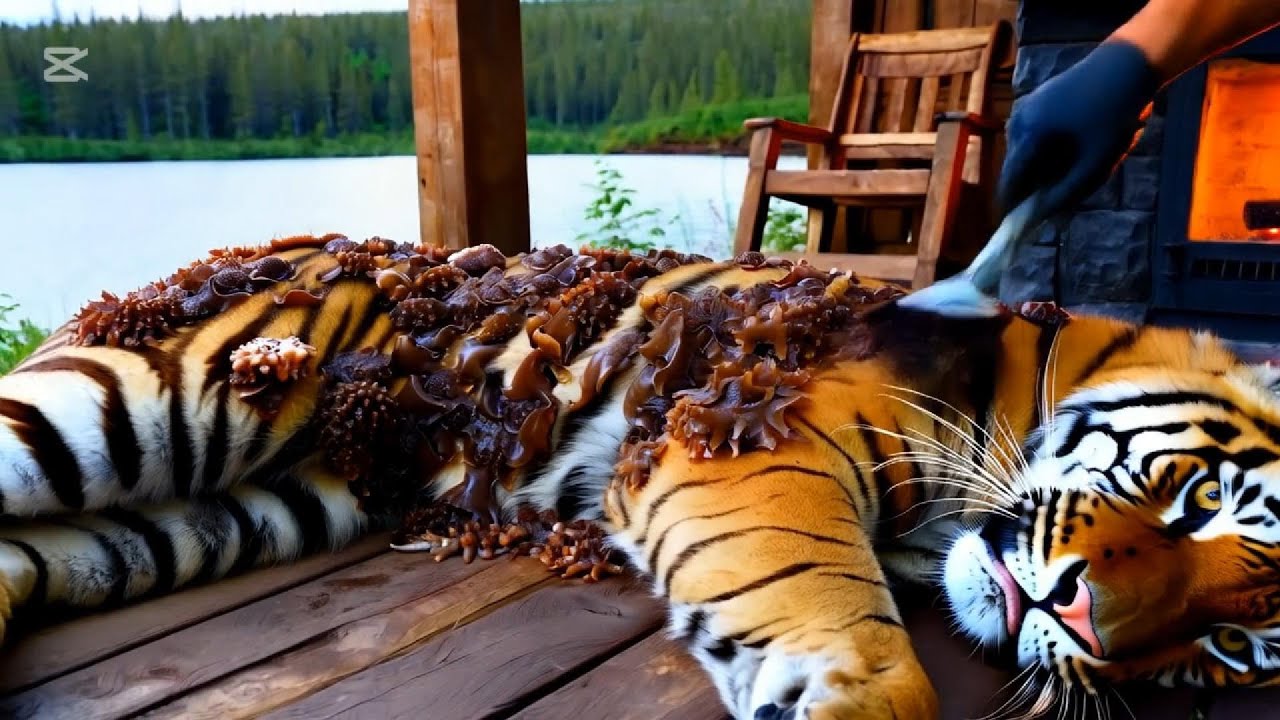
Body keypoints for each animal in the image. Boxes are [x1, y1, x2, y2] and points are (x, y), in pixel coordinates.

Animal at [0, 201, 1278, 720]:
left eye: (1230, 649)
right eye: (1199, 502)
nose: (1080, 621)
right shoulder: (766, 441)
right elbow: (827, 601)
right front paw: (840, 693)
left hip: (236, 507)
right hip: (135, 403)